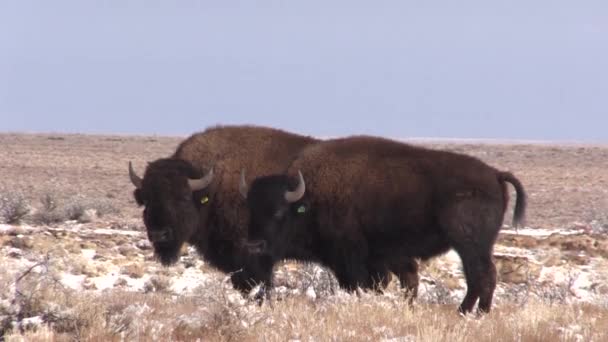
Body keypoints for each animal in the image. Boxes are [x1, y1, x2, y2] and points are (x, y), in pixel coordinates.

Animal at [240, 135, 524, 314]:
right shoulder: (382, 257)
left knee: (482, 275)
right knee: (479, 276)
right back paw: (468, 312)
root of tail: (495, 174)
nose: (253, 244)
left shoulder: (353, 257)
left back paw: (472, 313)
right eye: (250, 209)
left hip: (470, 244)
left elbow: (363, 284)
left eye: (279, 212)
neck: (312, 198)